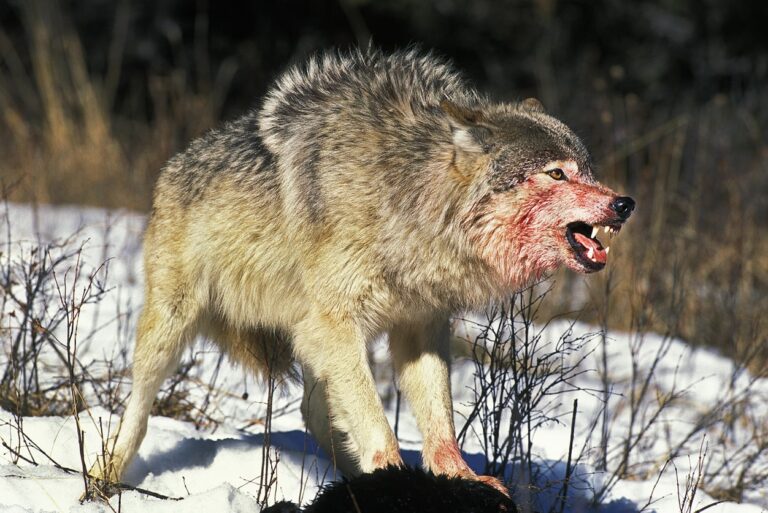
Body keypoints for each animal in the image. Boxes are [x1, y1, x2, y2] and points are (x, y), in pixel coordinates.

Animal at [91, 49, 634, 492]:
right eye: (556, 173)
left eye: (587, 170)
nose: (624, 203)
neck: (407, 197)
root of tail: (171, 165)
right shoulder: (337, 325)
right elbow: (376, 419)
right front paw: (393, 470)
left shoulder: (419, 326)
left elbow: (439, 420)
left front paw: (455, 475)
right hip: (176, 326)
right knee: (138, 405)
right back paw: (104, 474)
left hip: (307, 340)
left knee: (313, 413)